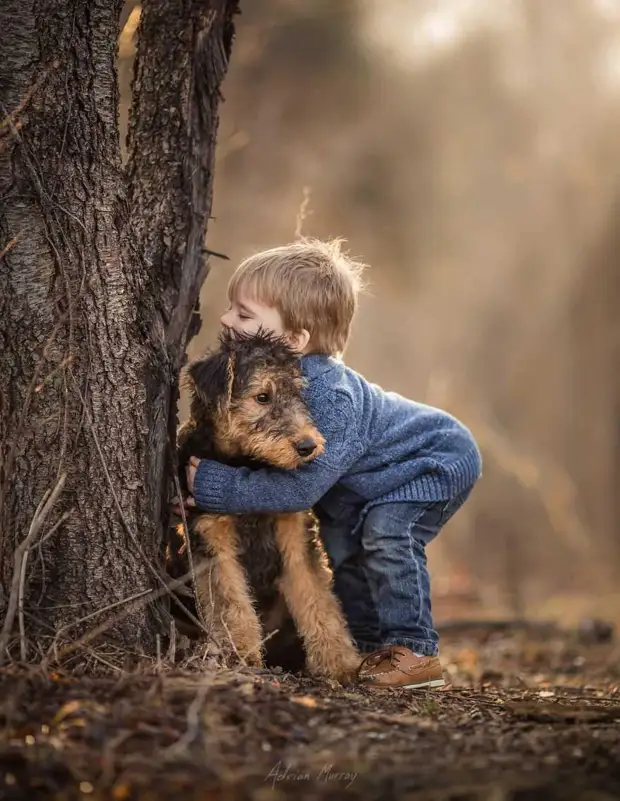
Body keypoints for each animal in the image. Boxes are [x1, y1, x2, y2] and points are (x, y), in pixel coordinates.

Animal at [172, 328, 360, 680]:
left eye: (300, 395)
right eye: (262, 396)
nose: (308, 446)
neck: (248, 465)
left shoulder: (295, 536)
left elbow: (318, 600)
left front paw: (339, 662)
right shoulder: (212, 538)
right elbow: (230, 601)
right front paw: (240, 655)